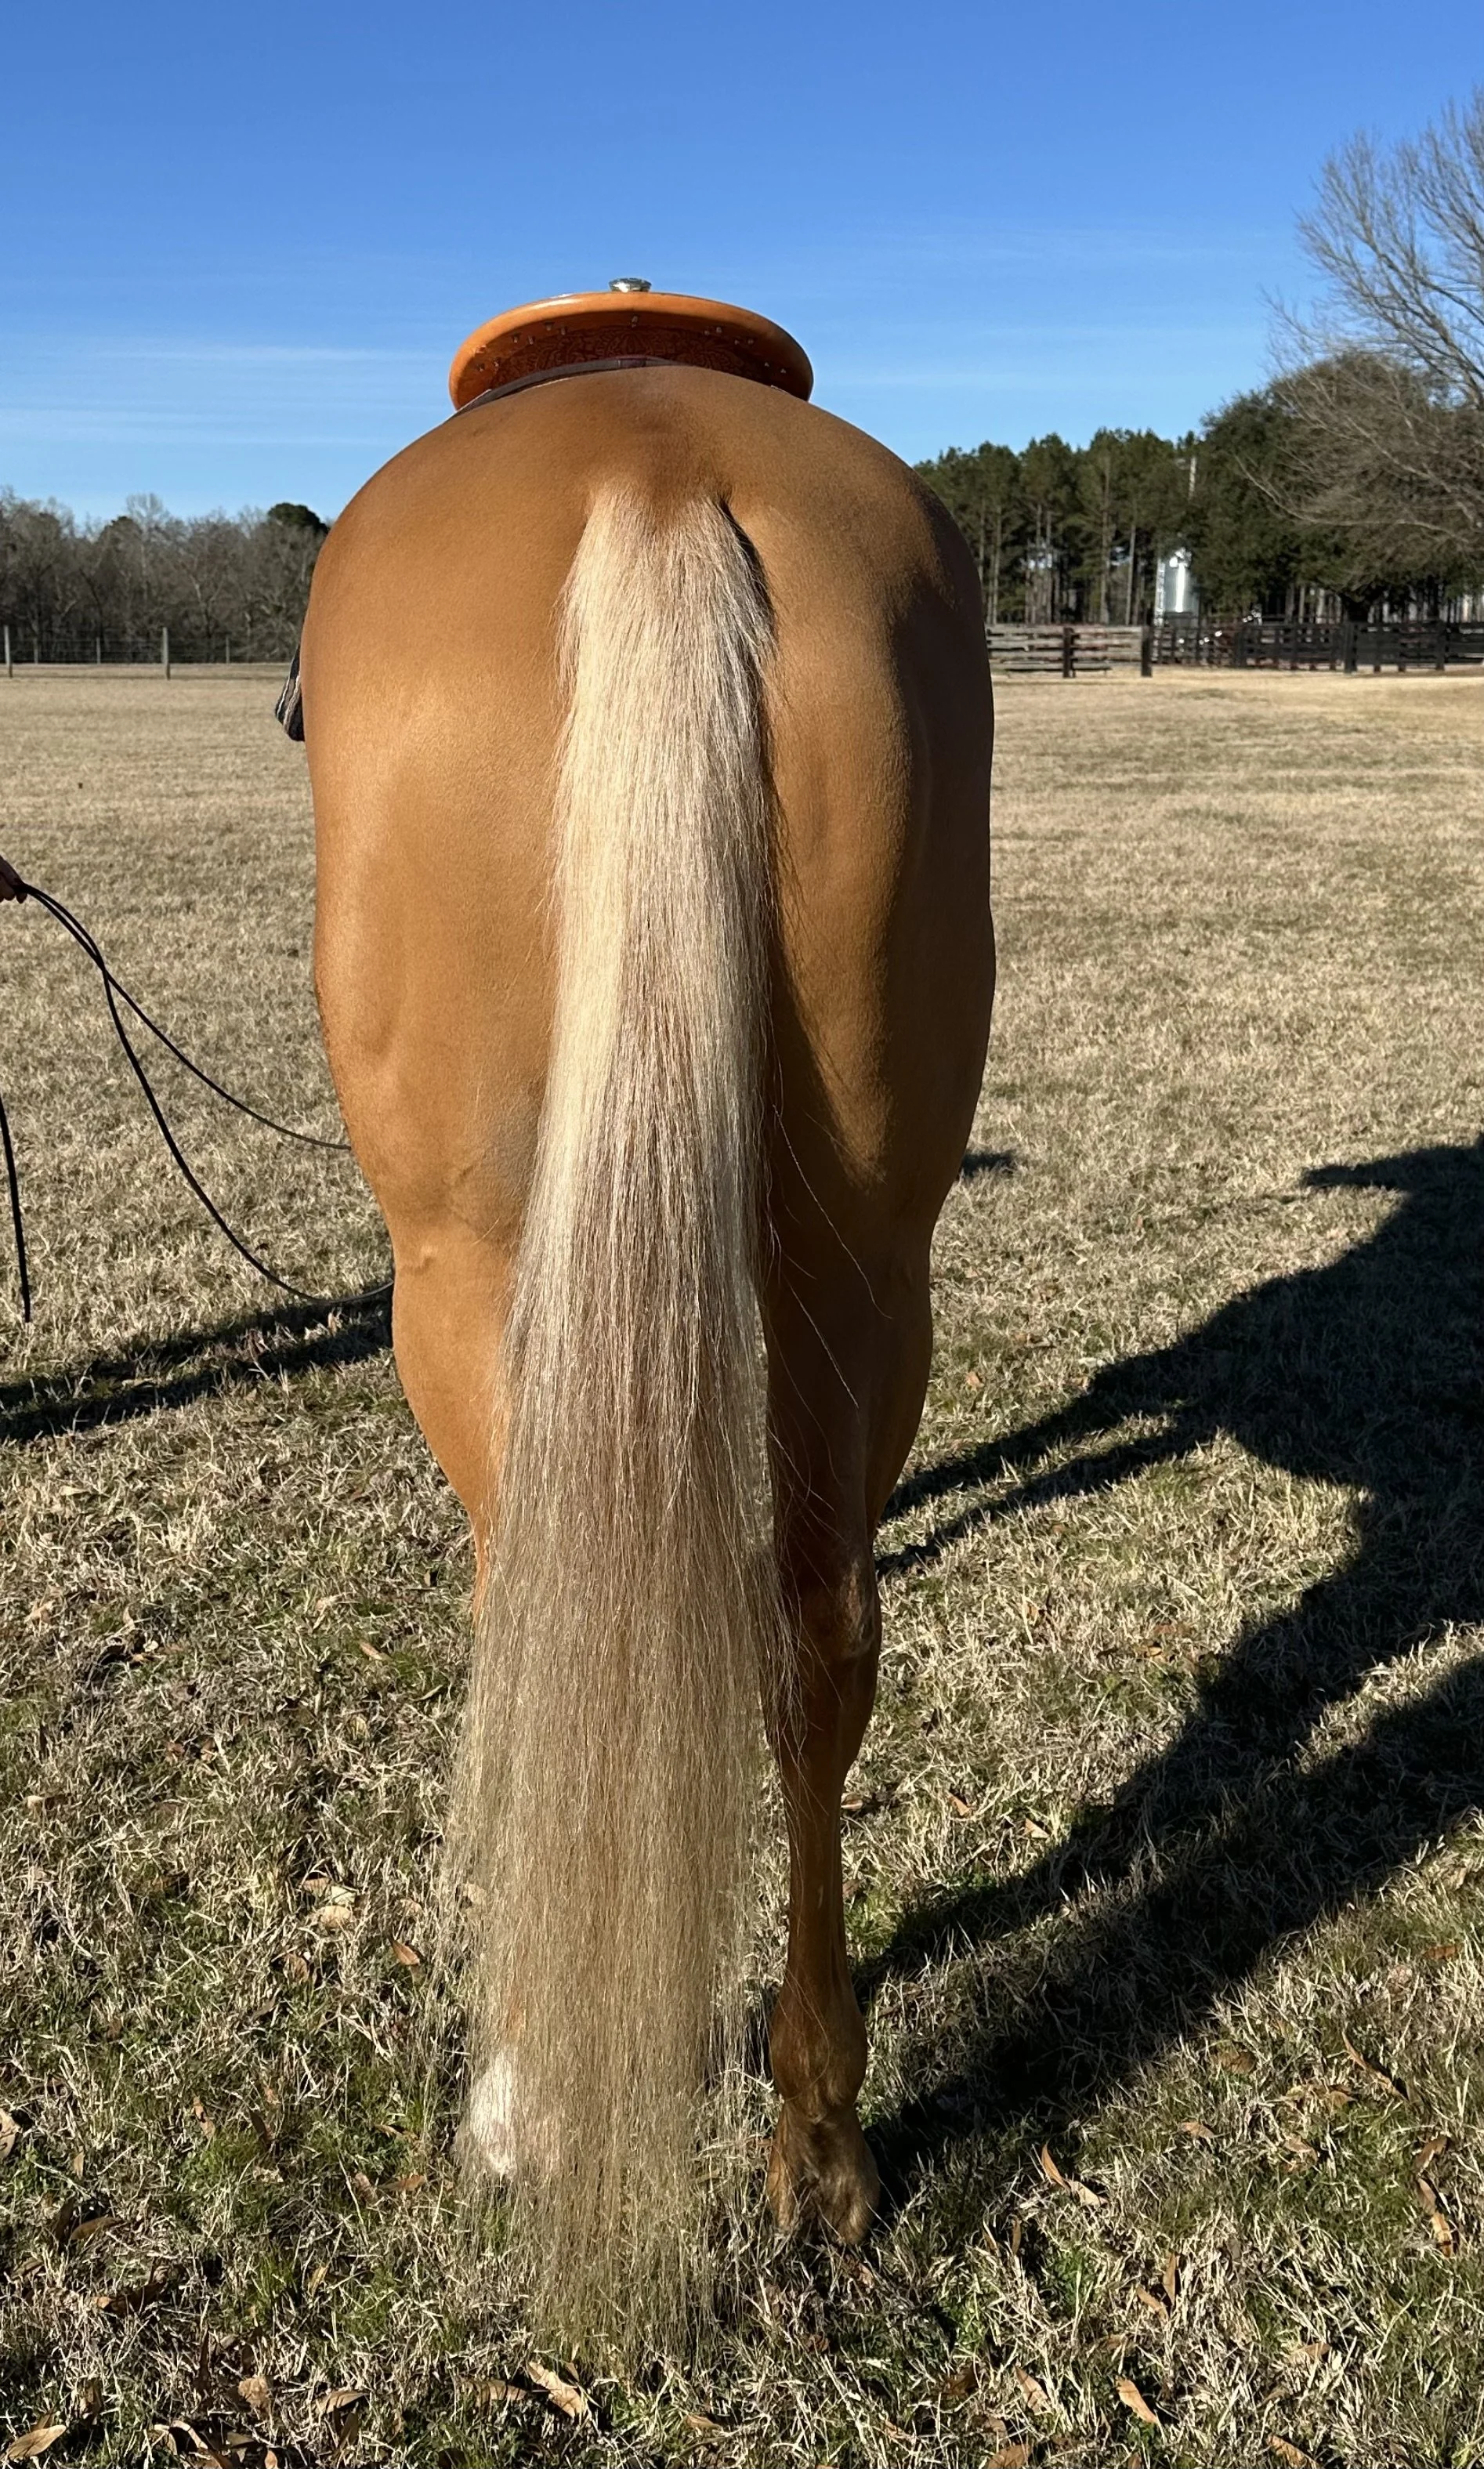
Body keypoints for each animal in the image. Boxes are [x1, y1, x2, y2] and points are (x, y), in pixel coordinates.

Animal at [301, 341, 994, 2343]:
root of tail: (657, 465)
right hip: (865, 1267)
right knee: (820, 1644)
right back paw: (818, 2152)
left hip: (462, 1276)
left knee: (539, 1603)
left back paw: (531, 2097)